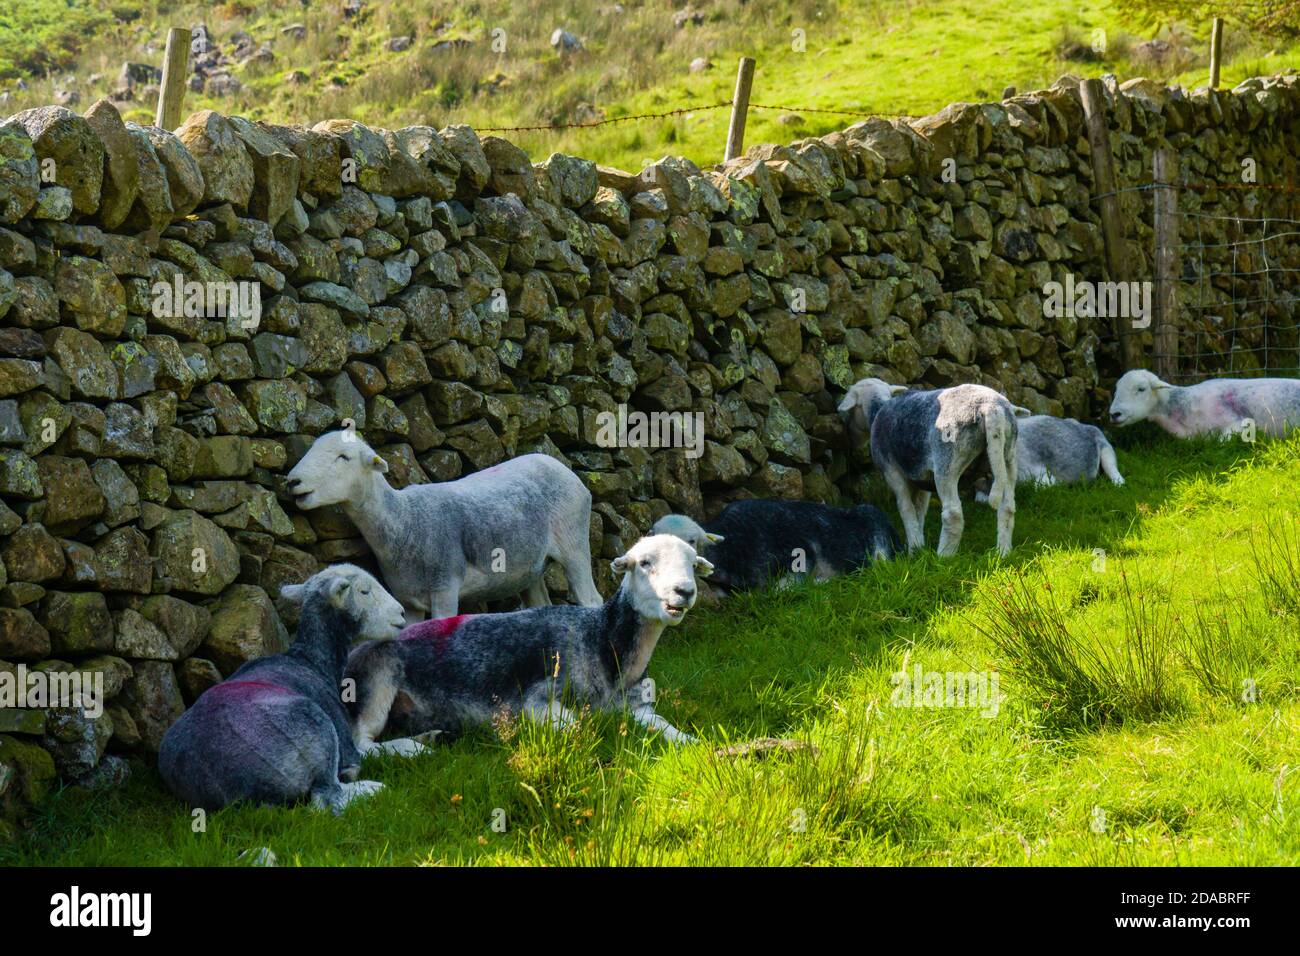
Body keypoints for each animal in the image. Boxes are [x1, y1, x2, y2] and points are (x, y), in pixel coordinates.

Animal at [158, 565, 424, 813]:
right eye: (364, 591)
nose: (402, 613)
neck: (311, 660)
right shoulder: (348, 747)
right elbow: (381, 749)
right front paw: (419, 748)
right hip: (316, 727)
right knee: (325, 799)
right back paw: (375, 788)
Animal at [284, 430, 603, 622]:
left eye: (344, 457)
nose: (293, 481)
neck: (405, 521)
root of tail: (558, 464)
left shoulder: (445, 590)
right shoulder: (407, 600)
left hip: (574, 544)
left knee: (591, 600)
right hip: (529, 569)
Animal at [344, 535, 713, 748]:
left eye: (693, 564)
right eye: (645, 563)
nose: (684, 591)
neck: (602, 641)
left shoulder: (636, 706)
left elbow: (671, 729)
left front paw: (700, 745)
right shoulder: (535, 699)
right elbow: (580, 729)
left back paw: (431, 736)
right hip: (376, 678)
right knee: (362, 744)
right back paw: (413, 749)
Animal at [838, 378, 1019, 557]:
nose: (849, 435)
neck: (876, 411)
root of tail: (990, 408)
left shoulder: (892, 472)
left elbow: (906, 509)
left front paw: (913, 549)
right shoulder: (923, 478)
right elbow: (920, 510)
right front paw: (919, 545)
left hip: (947, 462)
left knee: (953, 513)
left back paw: (944, 556)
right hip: (1007, 459)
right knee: (1007, 508)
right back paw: (1003, 552)